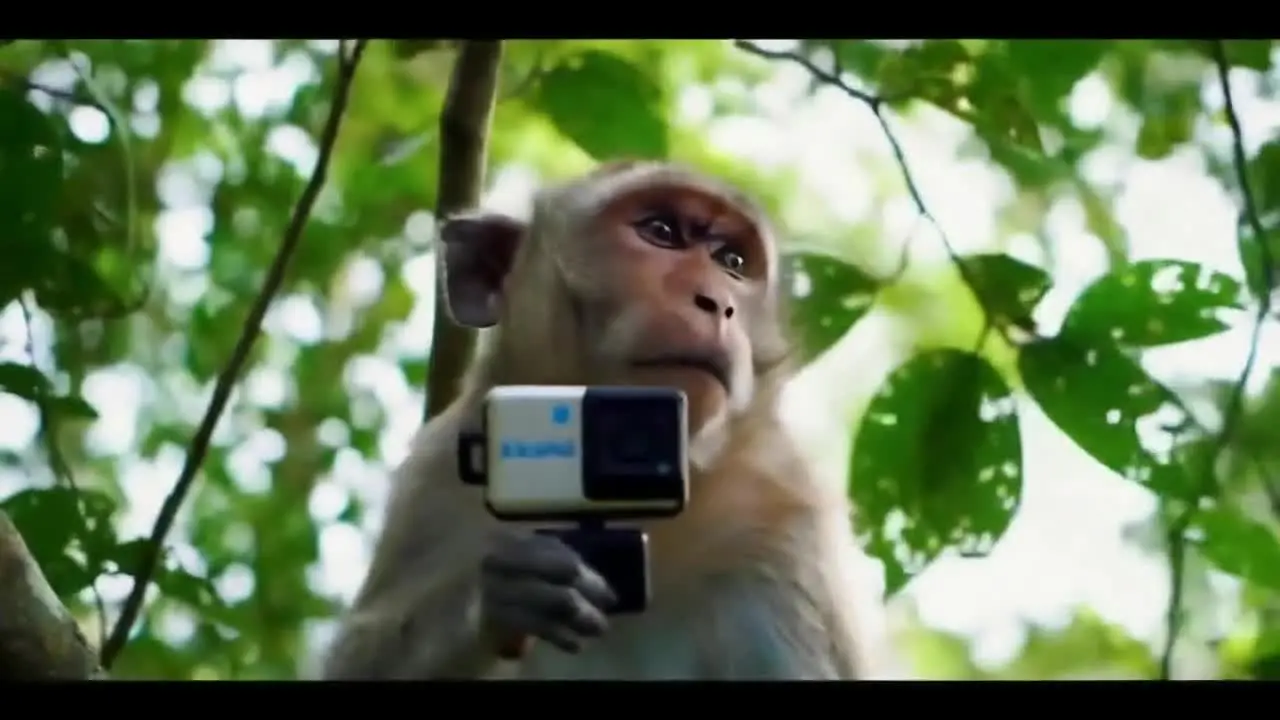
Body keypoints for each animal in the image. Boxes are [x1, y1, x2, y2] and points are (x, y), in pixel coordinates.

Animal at [318, 160, 876, 680]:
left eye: (732, 262)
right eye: (661, 231)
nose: (718, 302)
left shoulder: (785, 517)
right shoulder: (432, 482)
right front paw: (497, 600)